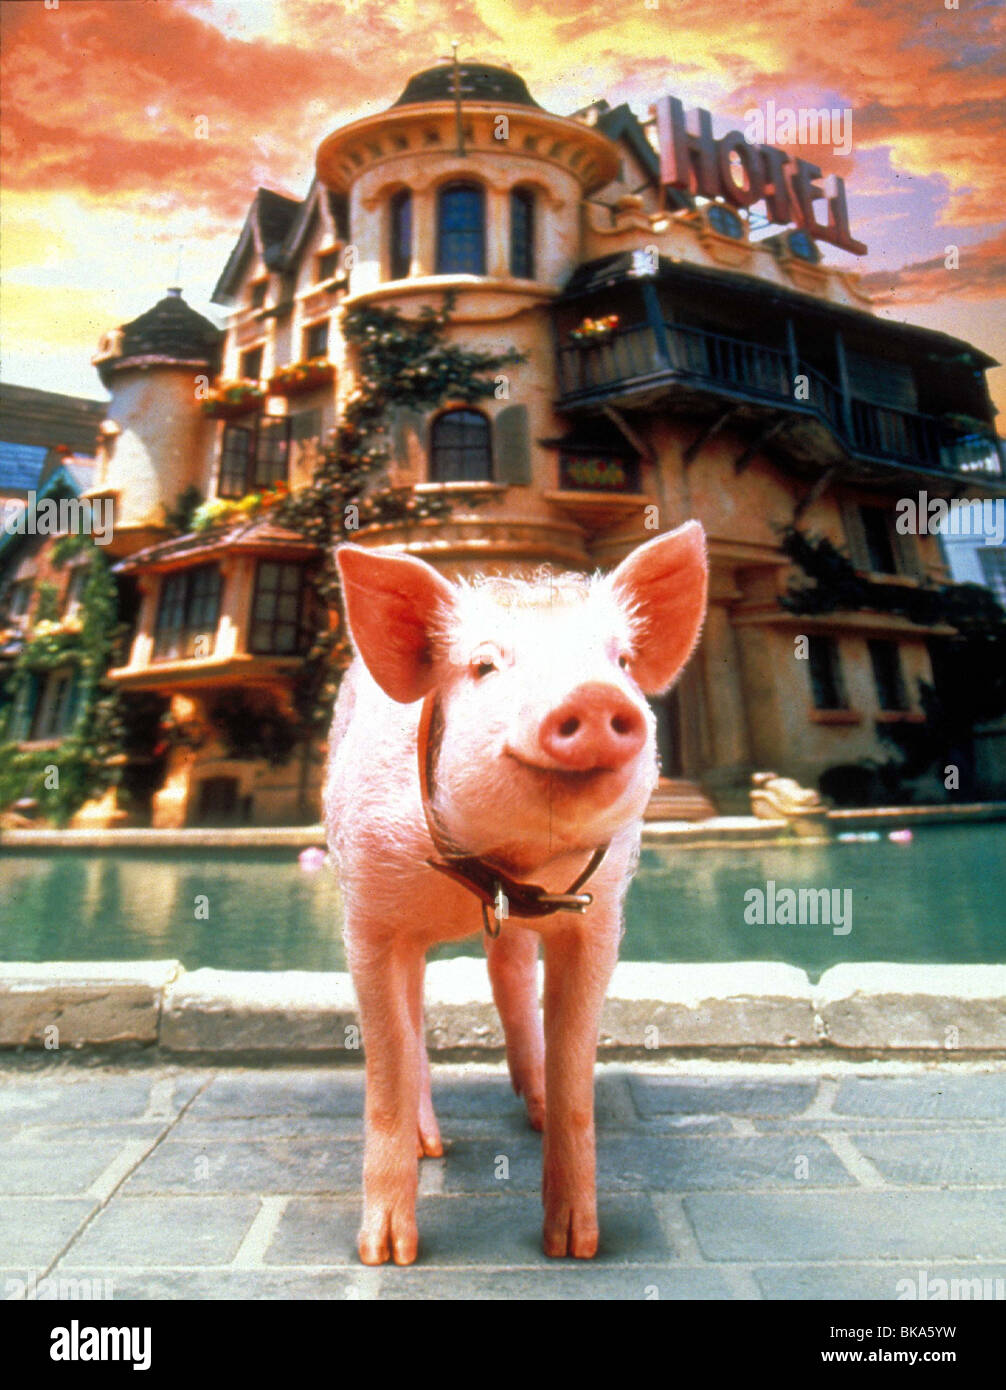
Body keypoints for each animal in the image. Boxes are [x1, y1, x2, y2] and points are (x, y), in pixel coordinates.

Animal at [324, 521, 707, 1265]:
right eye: (483, 666)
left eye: (621, 661)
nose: (593, 697)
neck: (501, 872)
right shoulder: (369, 915)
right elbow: (388, 1059)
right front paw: (387, 1255)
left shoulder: (597, 917)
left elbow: (575, 1066)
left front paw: (575, 1248)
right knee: (417, 1018)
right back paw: (431, 1148)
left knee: (508, 980)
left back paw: (530, 1109)